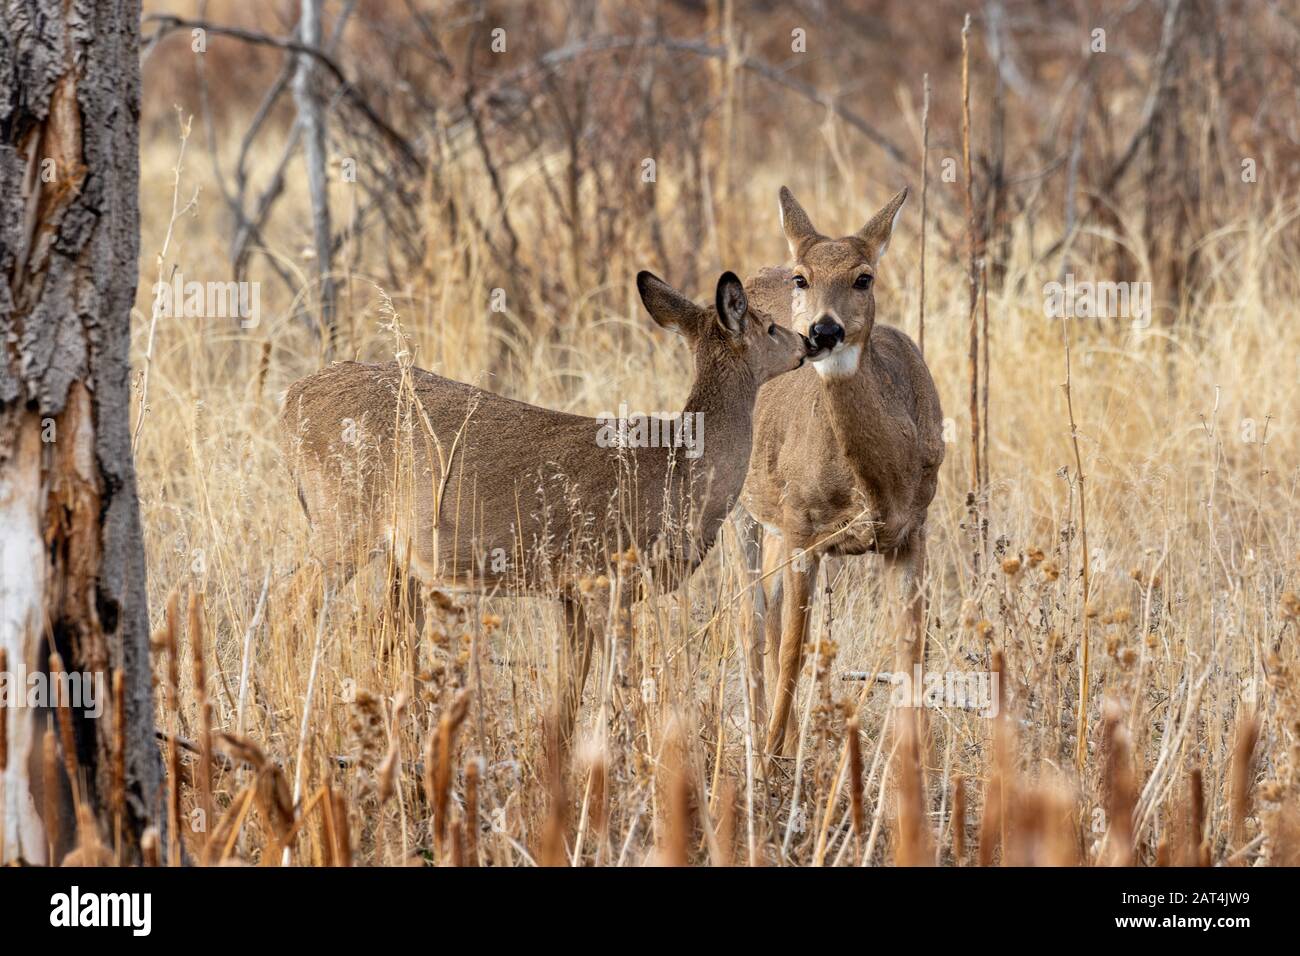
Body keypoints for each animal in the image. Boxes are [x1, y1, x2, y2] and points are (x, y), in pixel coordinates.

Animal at [280, 271, 815, 743]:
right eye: (769, 325)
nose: (808, 342)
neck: (680, 471)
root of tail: (289, 401)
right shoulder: (605, 578)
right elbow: (625, 687)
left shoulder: (569, 593)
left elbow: (566, 704)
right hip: (342, 521)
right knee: (293, 605)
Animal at [738, 186, 946, 756]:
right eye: (802, 278)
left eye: (864, 277)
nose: (823, 330)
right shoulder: (802, 527)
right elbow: (793, 649)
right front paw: (771, 758)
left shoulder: (912, 529)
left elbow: (911, 652)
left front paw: (915, 761)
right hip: (742, 505)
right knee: (753, 616)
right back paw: (763, 736)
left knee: (768, 608)